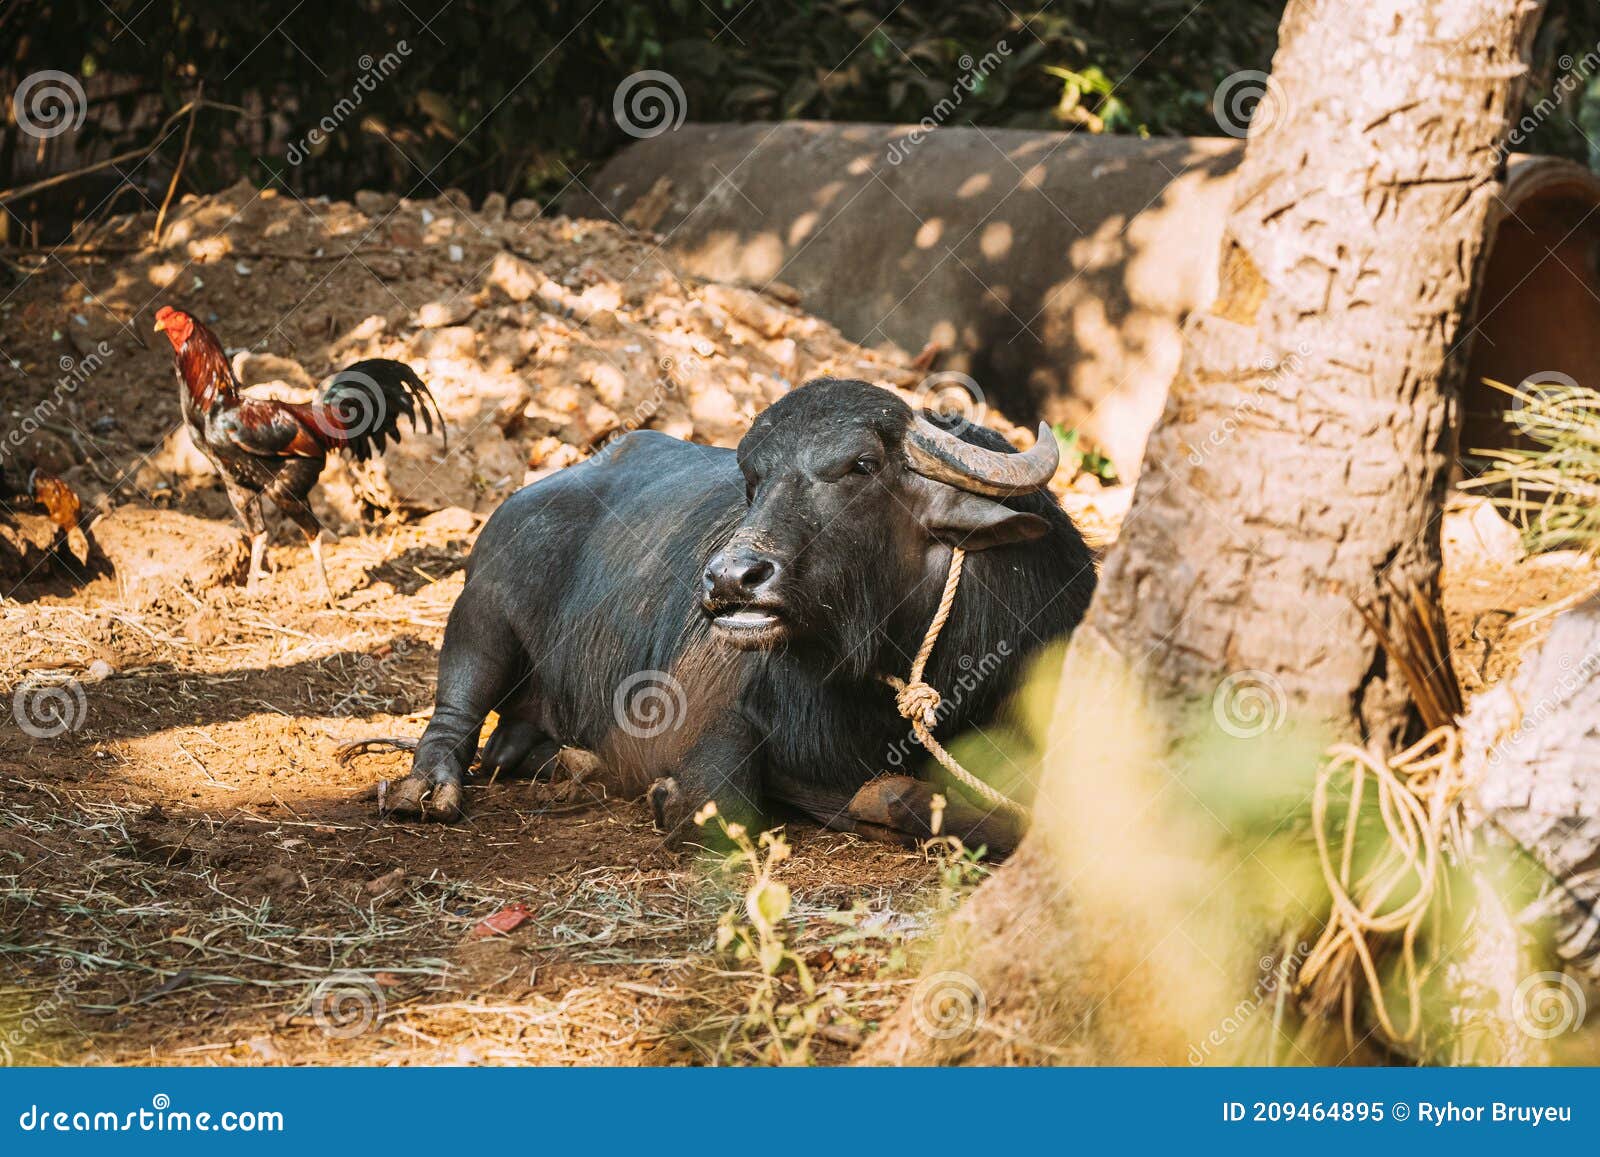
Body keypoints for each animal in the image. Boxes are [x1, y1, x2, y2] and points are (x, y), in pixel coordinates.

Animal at [378, 377, 1097, 850]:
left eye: (862, 465)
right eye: (753, 478)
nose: (731, 578)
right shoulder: (719, 709)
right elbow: (727, 804)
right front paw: (672, 798)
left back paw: (572, 763)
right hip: (482, 612)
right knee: (456, 711)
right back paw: (428, 790)